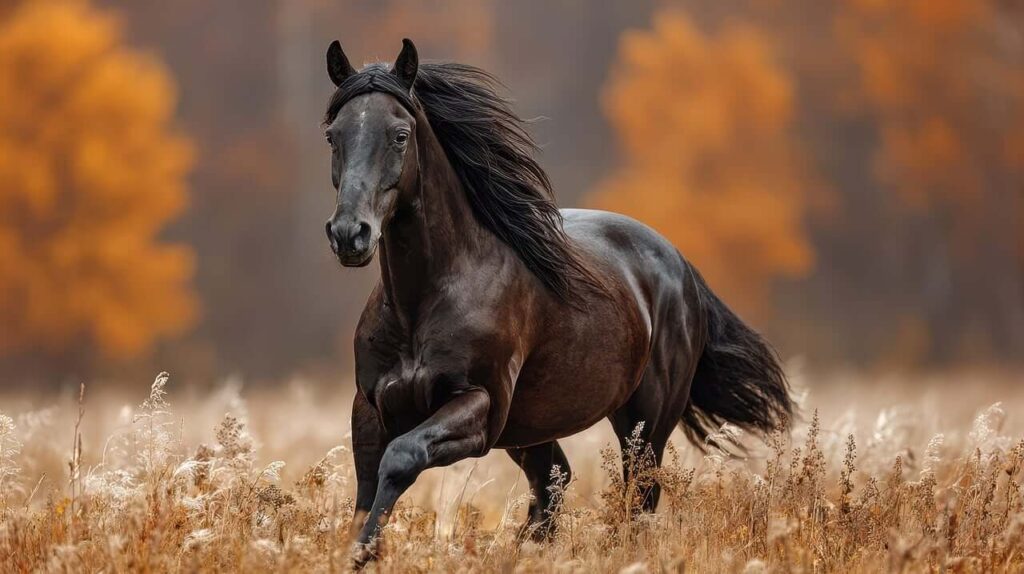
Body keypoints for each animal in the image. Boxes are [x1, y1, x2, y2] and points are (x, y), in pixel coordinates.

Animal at [321, 39, 794, 566]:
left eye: (400, 135)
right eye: (334, 136)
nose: (350, 234)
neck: (422, 303)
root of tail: (681, 265)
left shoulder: (480, 408)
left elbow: (402, 458)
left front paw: (362, 552)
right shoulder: (369, 408)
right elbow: (367, 491)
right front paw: (357, 552)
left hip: (645, 423)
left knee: (637, 498)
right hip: (534, 428)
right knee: (555, 483)